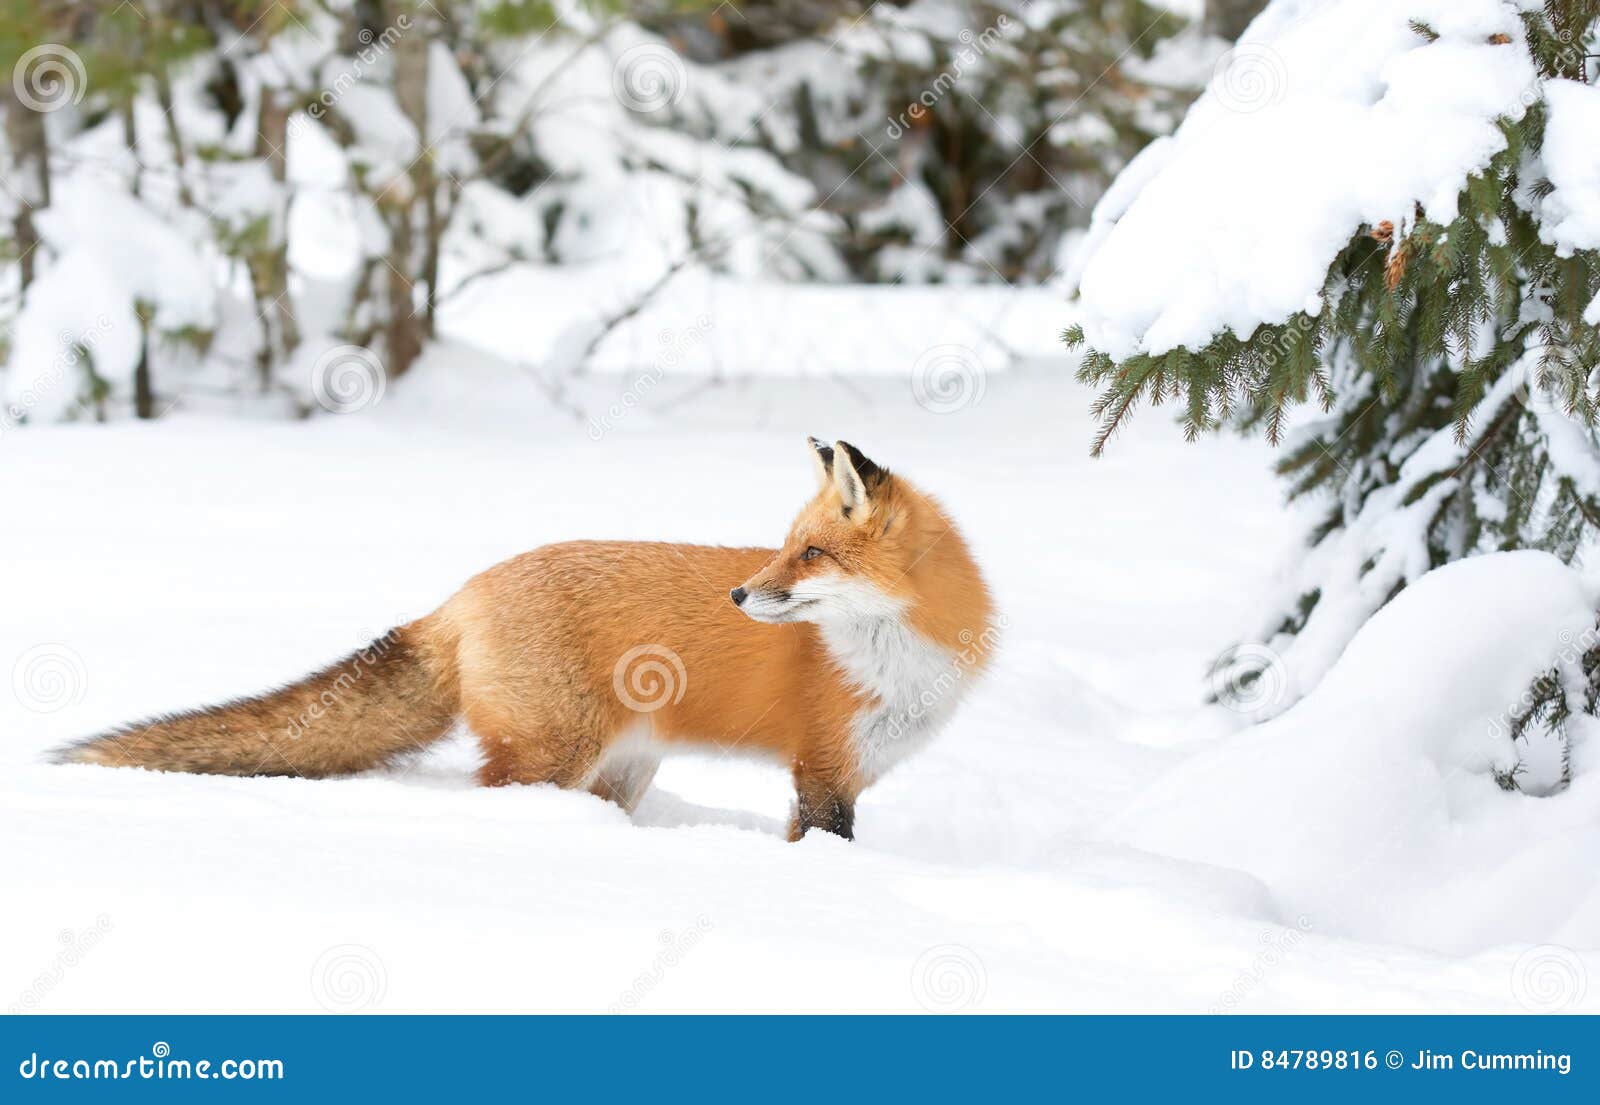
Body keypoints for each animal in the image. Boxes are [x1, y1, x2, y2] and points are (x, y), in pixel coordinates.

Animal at [54, 439, 995, 841]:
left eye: (810, 554)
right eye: (786, 548)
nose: (737, 594)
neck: (902, 657)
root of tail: (464, 591)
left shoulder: (839, 774)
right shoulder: (823, 766)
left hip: (621, 767)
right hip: (553, 753)